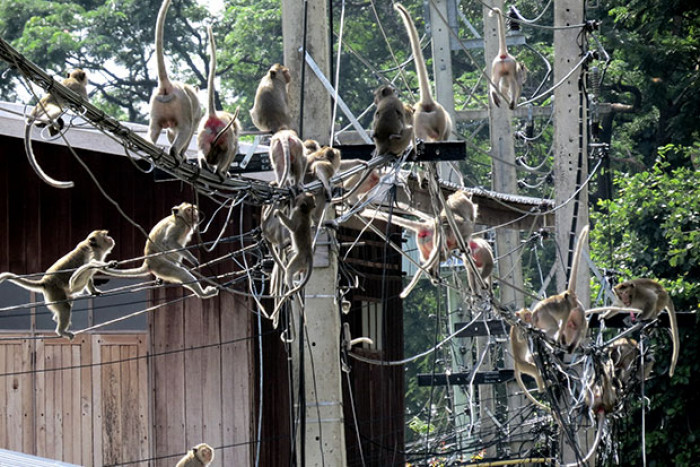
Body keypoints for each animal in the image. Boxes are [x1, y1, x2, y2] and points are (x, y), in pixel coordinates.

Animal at [70, 203, 218, 299]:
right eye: (189, 210)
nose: (195, 213)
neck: (180, 218)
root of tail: (148, 262)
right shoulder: (179, 225)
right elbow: (169, 242)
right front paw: (193, 259)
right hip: (160, 265)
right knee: (180, 272)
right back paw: (203, 294)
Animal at [148, 0, 202, 161]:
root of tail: (168, 85)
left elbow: (170, 132)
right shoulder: (197, 113)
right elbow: (190, 129)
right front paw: (183, 154)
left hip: (156, 103)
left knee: (154, 128)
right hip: (183, 103)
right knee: (187, 128)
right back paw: (175, 153)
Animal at [196, 26, 241, 179]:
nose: (212, 160)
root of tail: (213, 115)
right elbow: (234, 149)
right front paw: (225, 171)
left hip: (205, 132)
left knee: (202, 148)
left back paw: (204, 163)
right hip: (225, 136)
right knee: (230, 149)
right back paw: (220, 172)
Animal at [269, 193, 316, 327]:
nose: (298, 195)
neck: (305, 212)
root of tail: (309, 255)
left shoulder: (296, 214)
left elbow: (292, 226)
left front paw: (278, 212)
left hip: (299, 260)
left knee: (289, 270)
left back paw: (290, 286)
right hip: (302, 264)